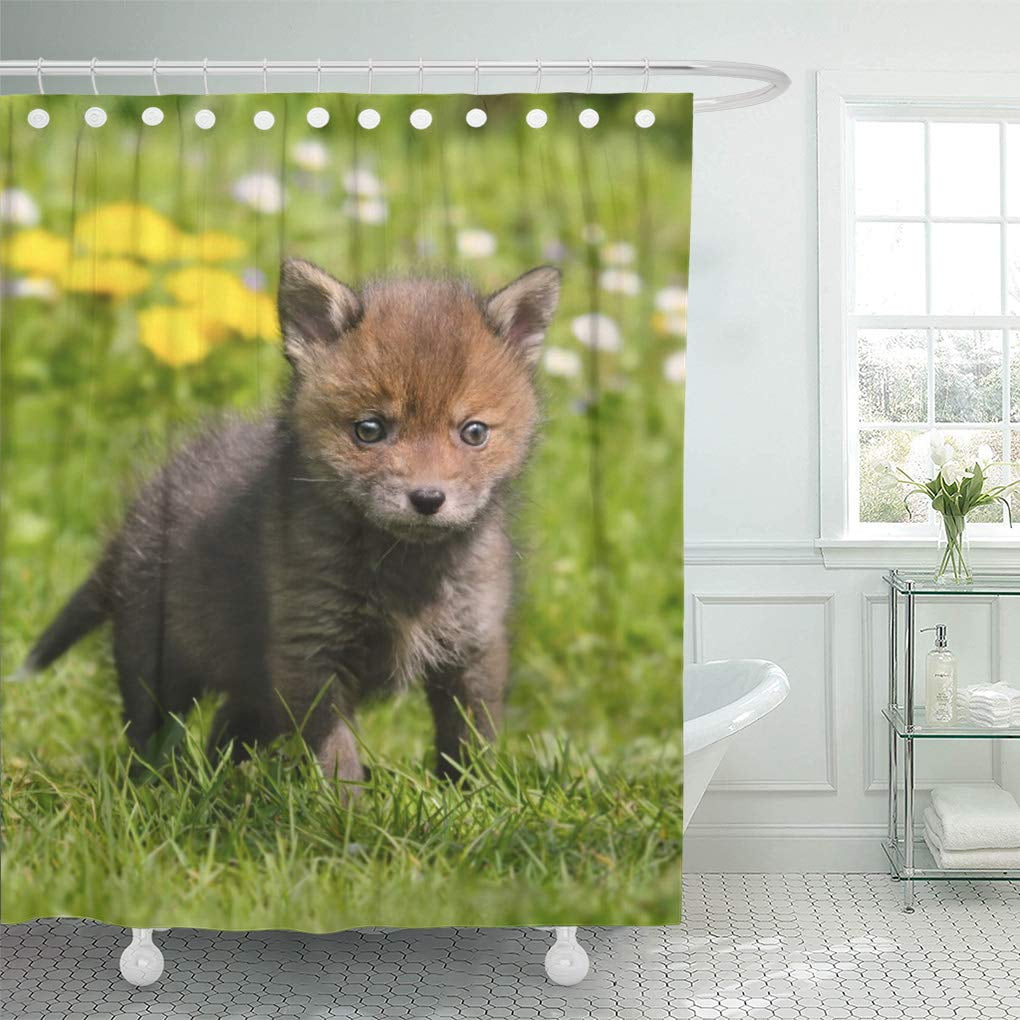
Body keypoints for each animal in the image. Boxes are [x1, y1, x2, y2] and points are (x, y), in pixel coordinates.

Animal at [17, 258, 562, 794]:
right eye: (370, 430)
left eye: (474, 432)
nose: (427, 499)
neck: (404, 572)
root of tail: (132, 522)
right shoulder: (309, 649)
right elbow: (336, 753)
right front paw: (347, 814)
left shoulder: (473, 645)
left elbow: (469, 740)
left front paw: (473, 801)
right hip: (160, 667)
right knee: (151, 738)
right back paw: (158, 789)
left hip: (251, 686)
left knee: (224, 732)